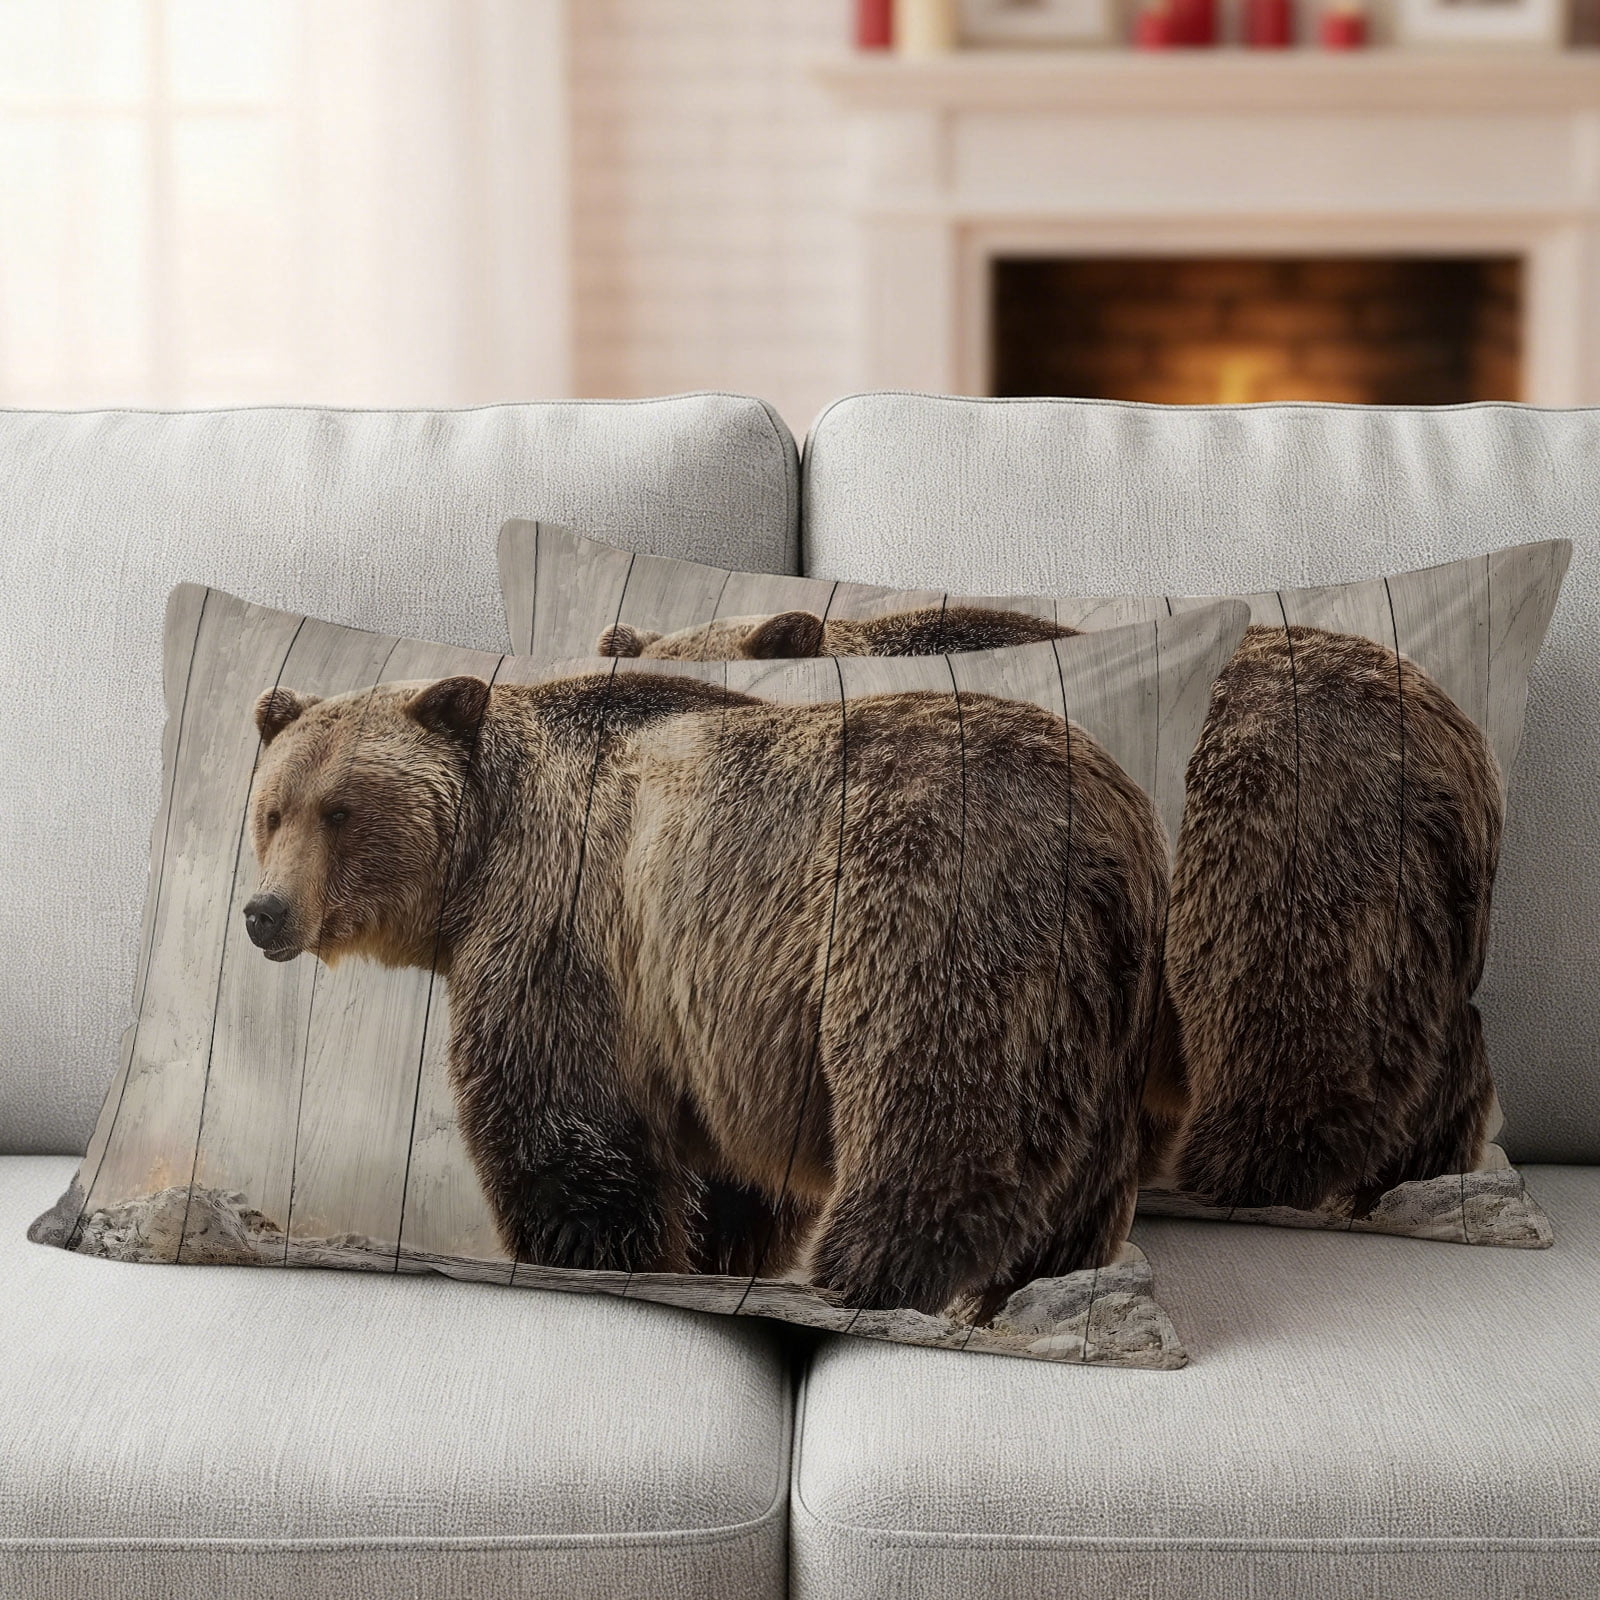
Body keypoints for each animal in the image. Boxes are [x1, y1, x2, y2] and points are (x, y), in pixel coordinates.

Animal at [244, 667, 1169, 1315]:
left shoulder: (567, 916)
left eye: (340, 810)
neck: (484, 848)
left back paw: (863, 1273)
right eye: (273, 810)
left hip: (933, 903)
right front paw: (713, 1251)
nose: (265, 911)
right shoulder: (723, 1028)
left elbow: (564, 1113)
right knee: (1085, 1174)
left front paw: (594, 1247)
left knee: (934, 1106)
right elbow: (732, 1178)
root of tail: (1119, 823)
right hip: (1111, 1010)